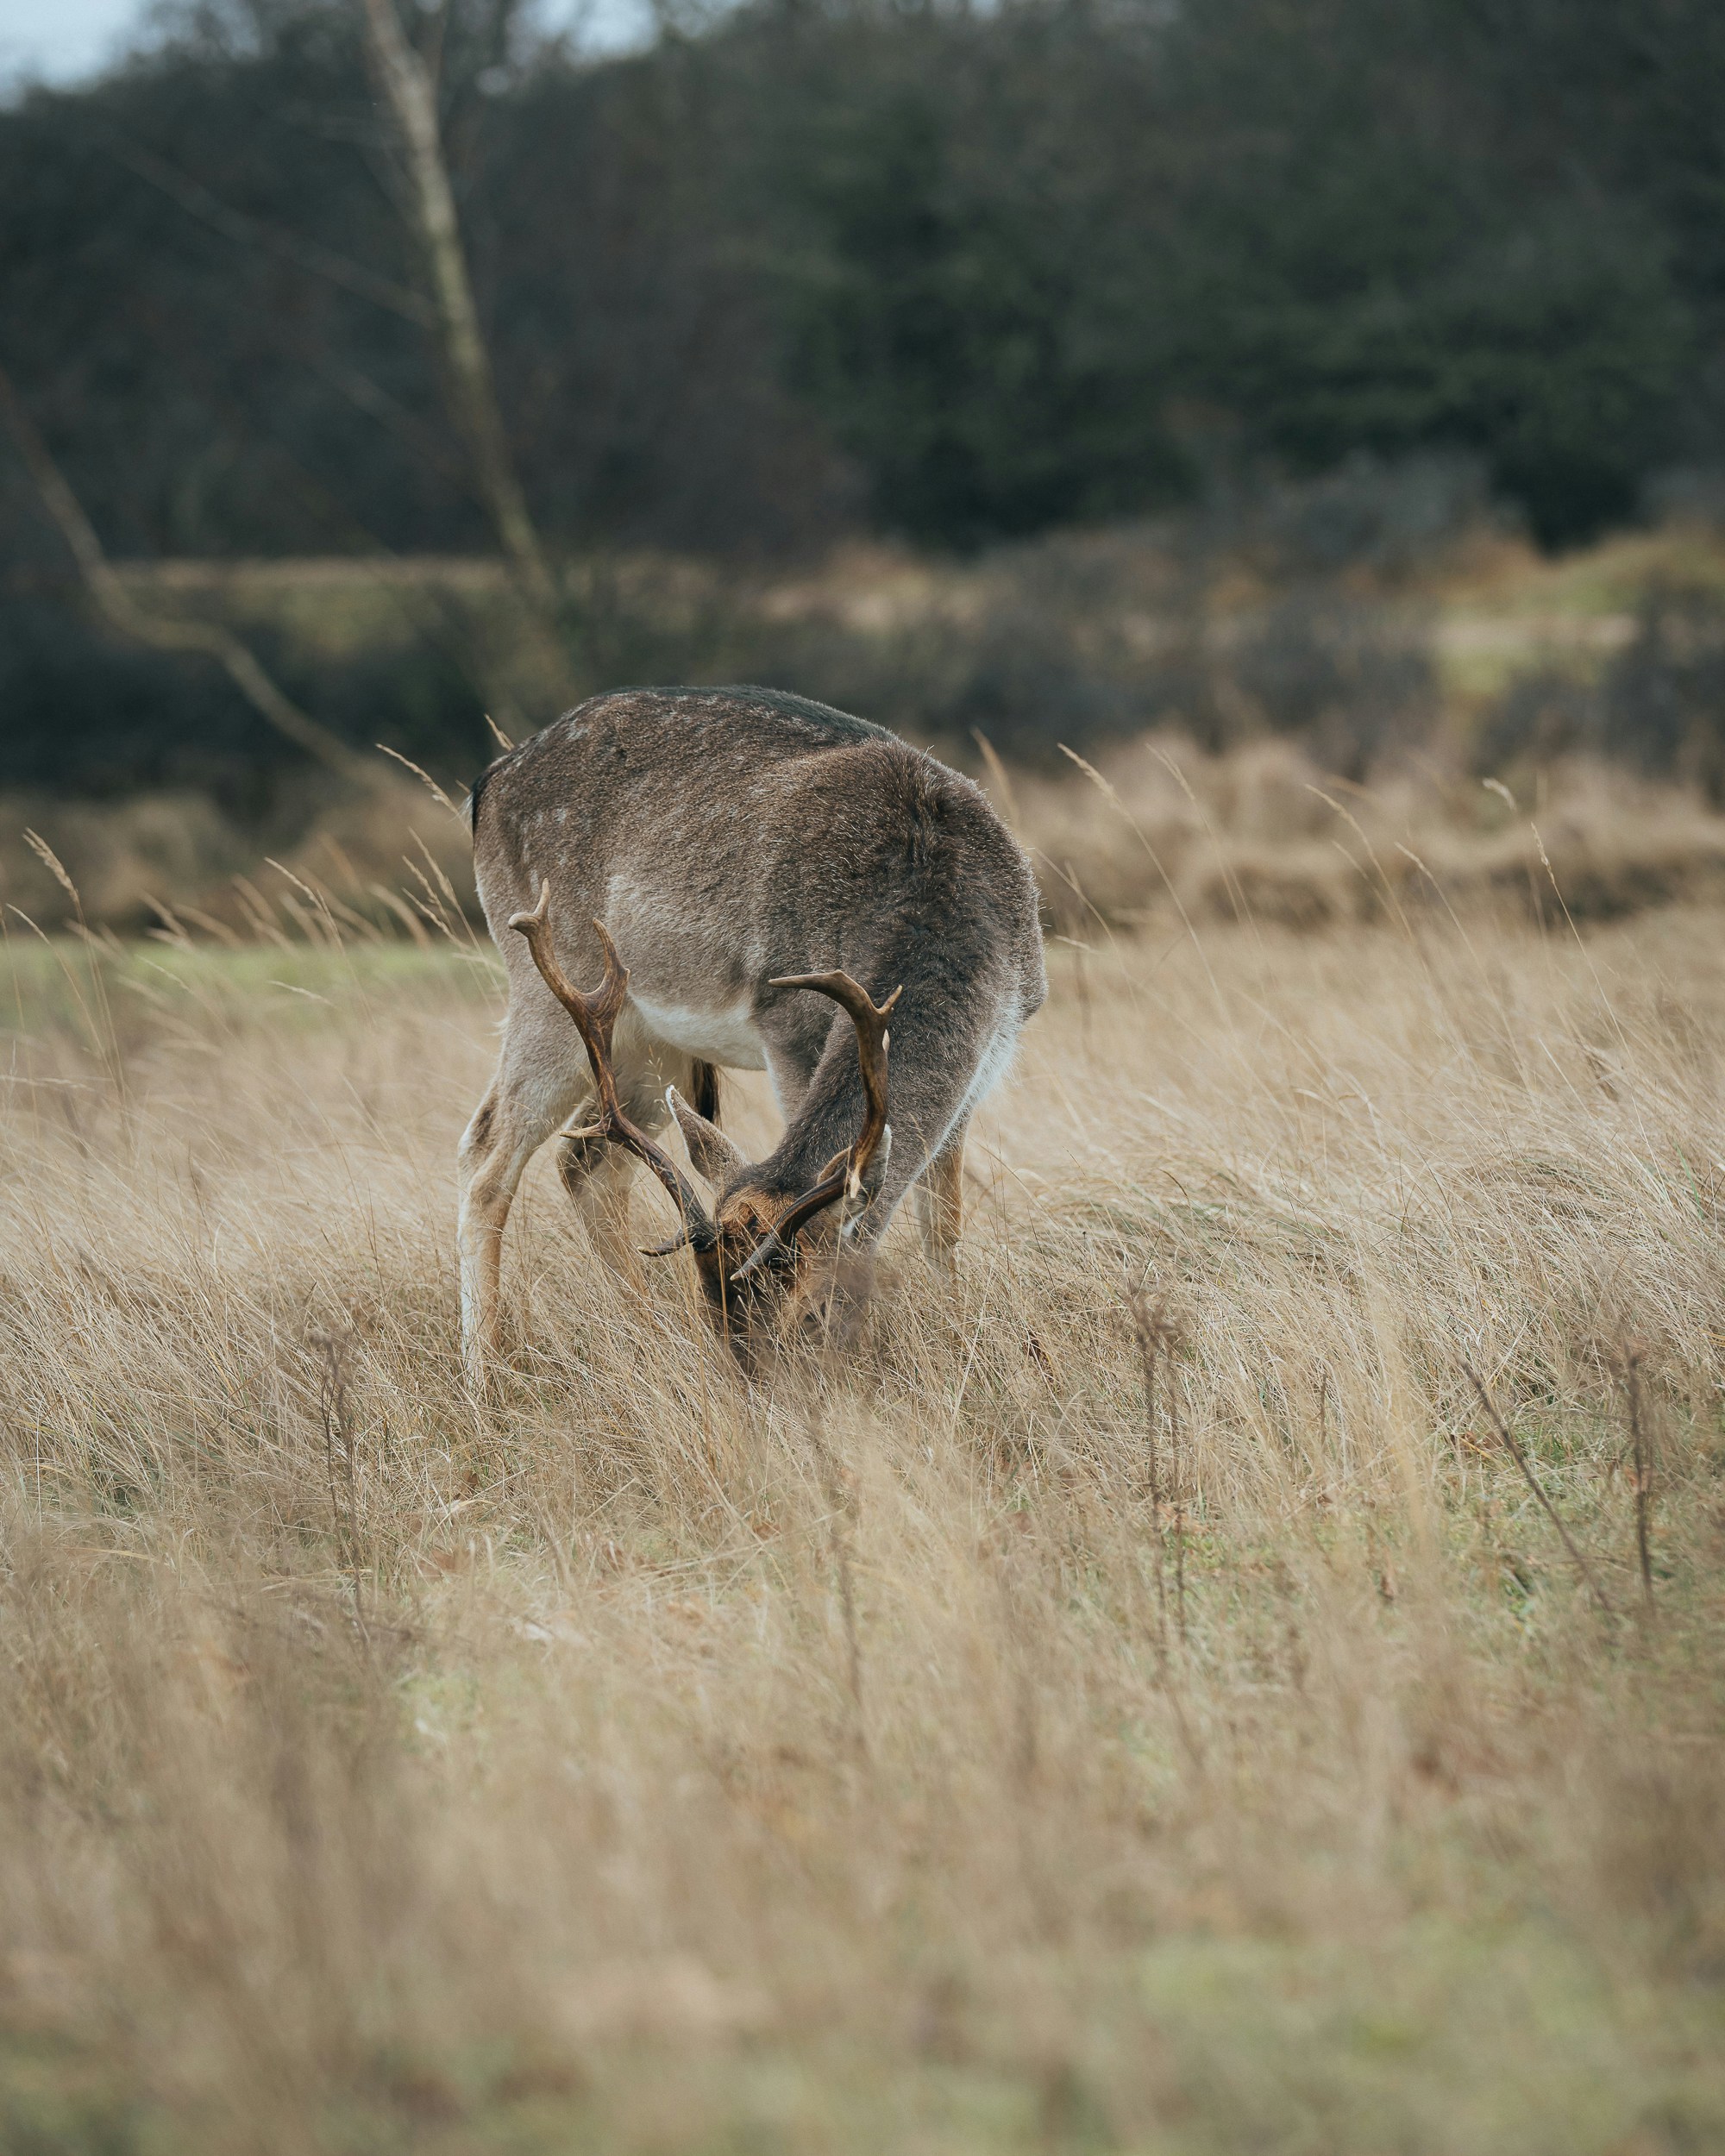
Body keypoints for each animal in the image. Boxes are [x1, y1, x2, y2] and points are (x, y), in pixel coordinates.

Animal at [457, 684, 1046, 1377]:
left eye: (812, 1312)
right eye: (712, 1304)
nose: (754, 1383)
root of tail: (487, 783)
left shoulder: (987, 1062)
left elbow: (943, 1227)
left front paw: (957, 1340)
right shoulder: (787, 1026)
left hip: (642, 1042)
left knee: (585, 1164)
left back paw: (643, 1331)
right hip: (544, 986)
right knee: (485, 1155)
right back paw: (483, 1371)